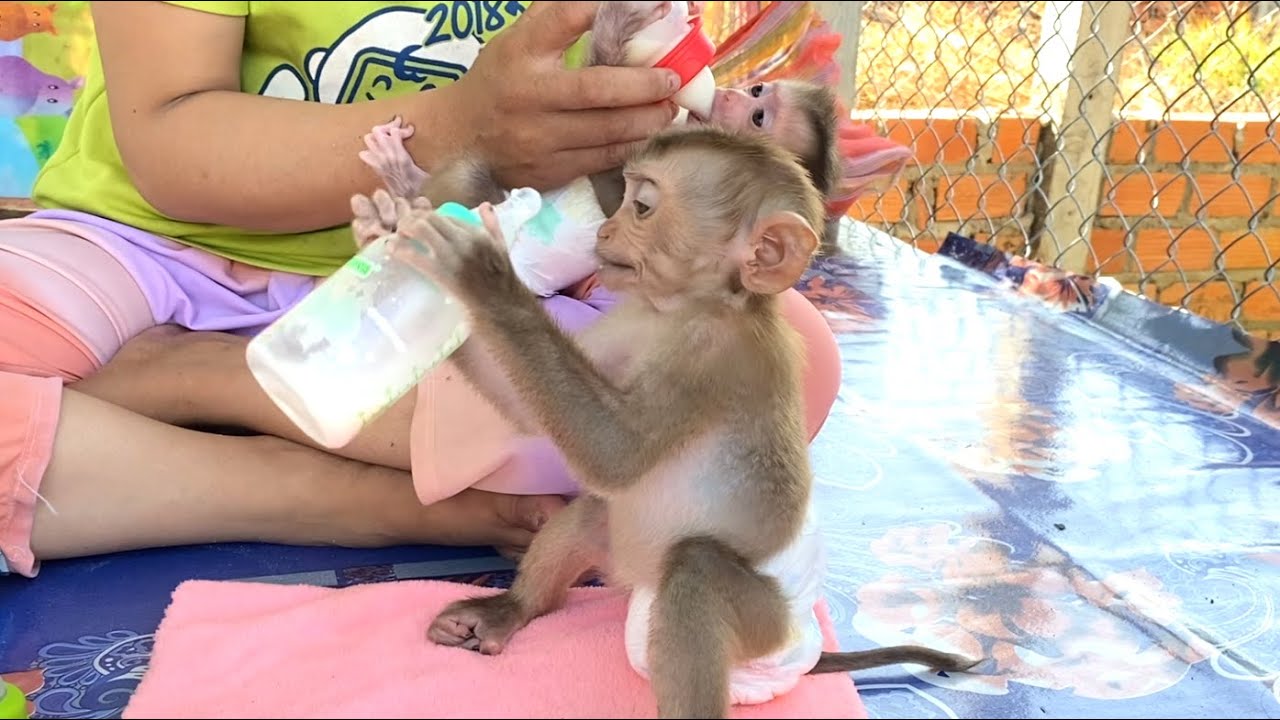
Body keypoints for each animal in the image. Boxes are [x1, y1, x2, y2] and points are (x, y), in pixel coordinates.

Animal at [354, 125, 979, 719]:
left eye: (642, 207)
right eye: (625, 199)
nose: (603, 232)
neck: (689, 308)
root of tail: (802, 649)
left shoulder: (713, 357)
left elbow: (615, 454)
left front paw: (481, 271)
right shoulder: (634, 319)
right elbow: (533, 412)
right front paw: (393, 217)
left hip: (763, 629)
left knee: (694, 573)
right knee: (595, 515)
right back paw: (515, 610)